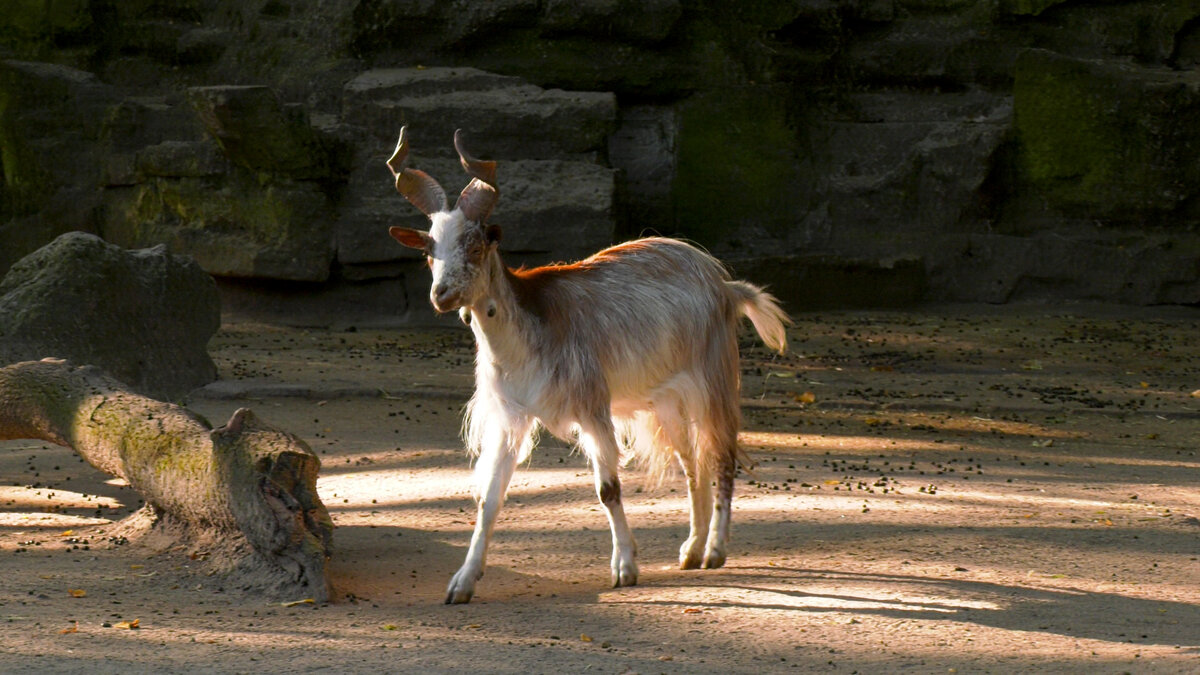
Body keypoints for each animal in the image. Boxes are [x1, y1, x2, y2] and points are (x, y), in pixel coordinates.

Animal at [385, 127, 790, 604]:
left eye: (476, 243)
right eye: (429, 249)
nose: (442, 296)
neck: (532, 332)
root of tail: (725, 285)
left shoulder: (593, 409)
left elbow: (608, 489)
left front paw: (625, 568)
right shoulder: (511, 418)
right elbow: (489, 498)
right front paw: (462, 583)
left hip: (714, 377)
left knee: (723, 456)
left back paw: (714, 551)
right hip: (667, 398)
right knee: (693, 464)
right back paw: (690, 550)